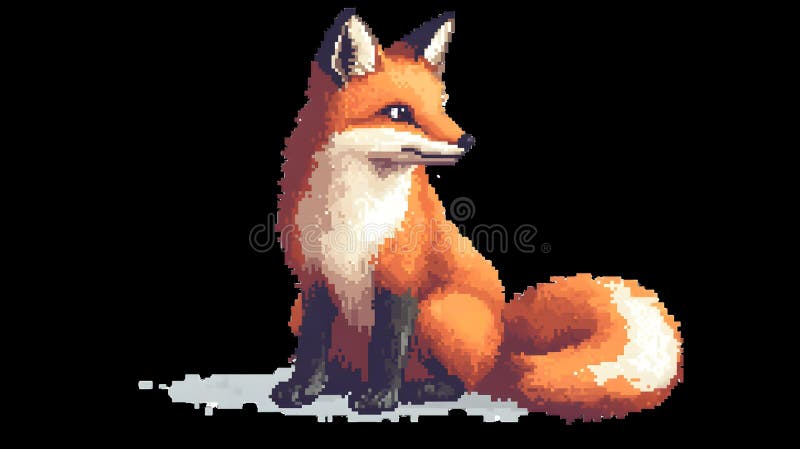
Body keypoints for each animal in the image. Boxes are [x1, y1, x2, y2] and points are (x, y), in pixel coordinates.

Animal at [272, 9, 682, 421]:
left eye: (442, 105)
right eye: (399, 112)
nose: (466, 140)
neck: (350, 217)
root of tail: (503, 339)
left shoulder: (401, 278)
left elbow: (389, 348)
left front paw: (380, 399)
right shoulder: (313, 279)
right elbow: (312, 350)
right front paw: (303, 390)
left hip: (438, 311)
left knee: (459, 382)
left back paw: (419, 389)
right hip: (305, 312)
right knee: (349, 362)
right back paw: (342, 382)